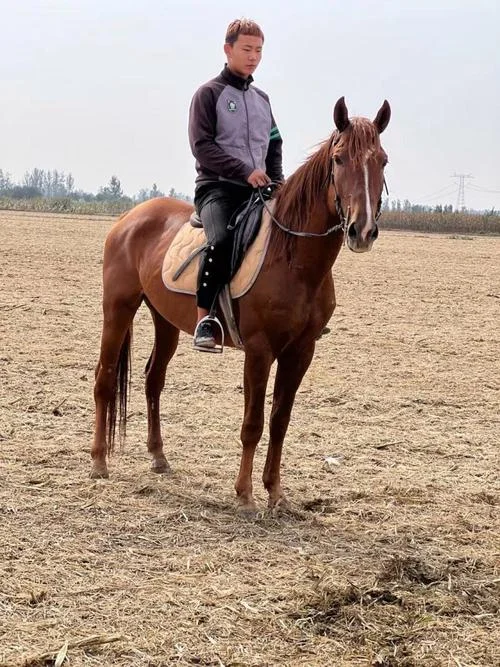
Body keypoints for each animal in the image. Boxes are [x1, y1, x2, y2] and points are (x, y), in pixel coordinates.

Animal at [91, 96, 391, 512]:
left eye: (382, 160)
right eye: (340, 158)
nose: (362, 231)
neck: (292, 257)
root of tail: (129, 218)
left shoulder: (301, 351)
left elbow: (280, 421)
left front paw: (276, 493)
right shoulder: (260, 350)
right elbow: (253, 423)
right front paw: (245, 495)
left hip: (164, 320)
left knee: (153, 380)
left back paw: (158, 457)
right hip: (118, 308)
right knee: (104, 379)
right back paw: (99, 462)